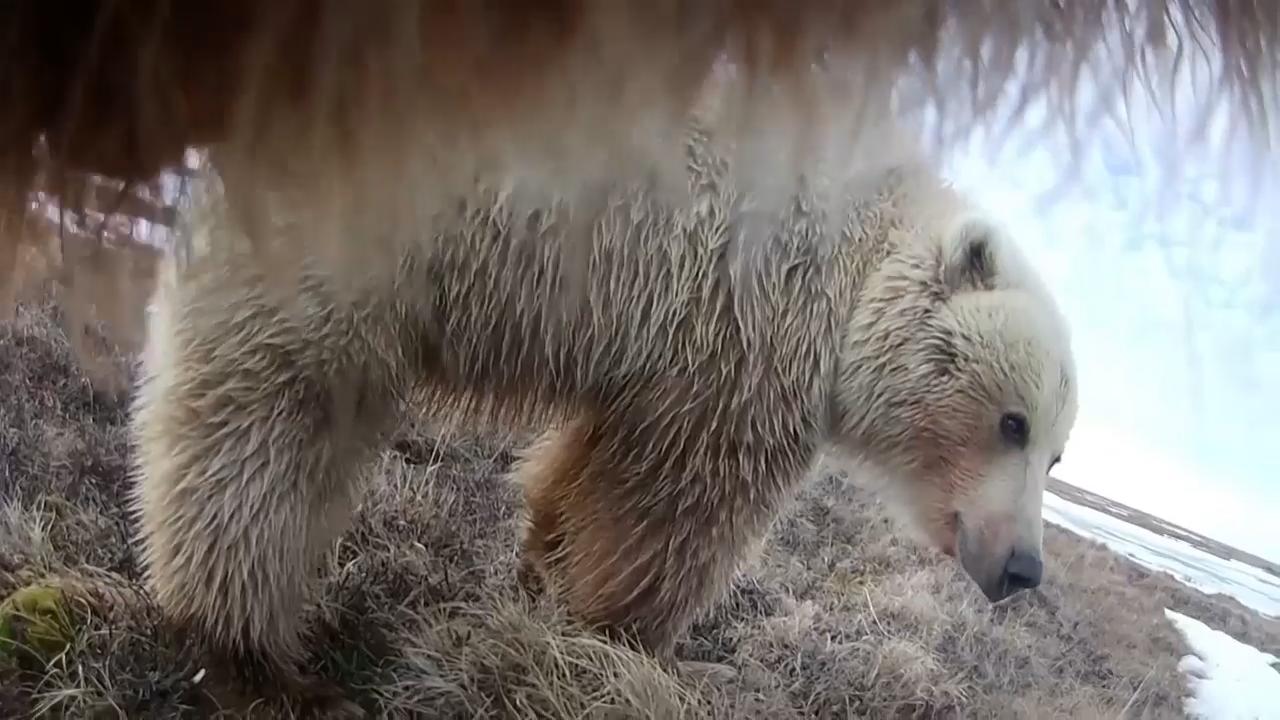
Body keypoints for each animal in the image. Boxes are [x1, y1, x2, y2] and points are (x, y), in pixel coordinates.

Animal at [128, 121, 1077, 706]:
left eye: (1059, 454)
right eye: (1013, 421)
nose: (1025, 568)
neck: (856, 260)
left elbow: (589, 465)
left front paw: (540, 572)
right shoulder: (736, 320)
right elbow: (674, 503)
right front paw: (635, 644)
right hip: (365, 224)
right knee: (276, 417)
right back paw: (254, 652)